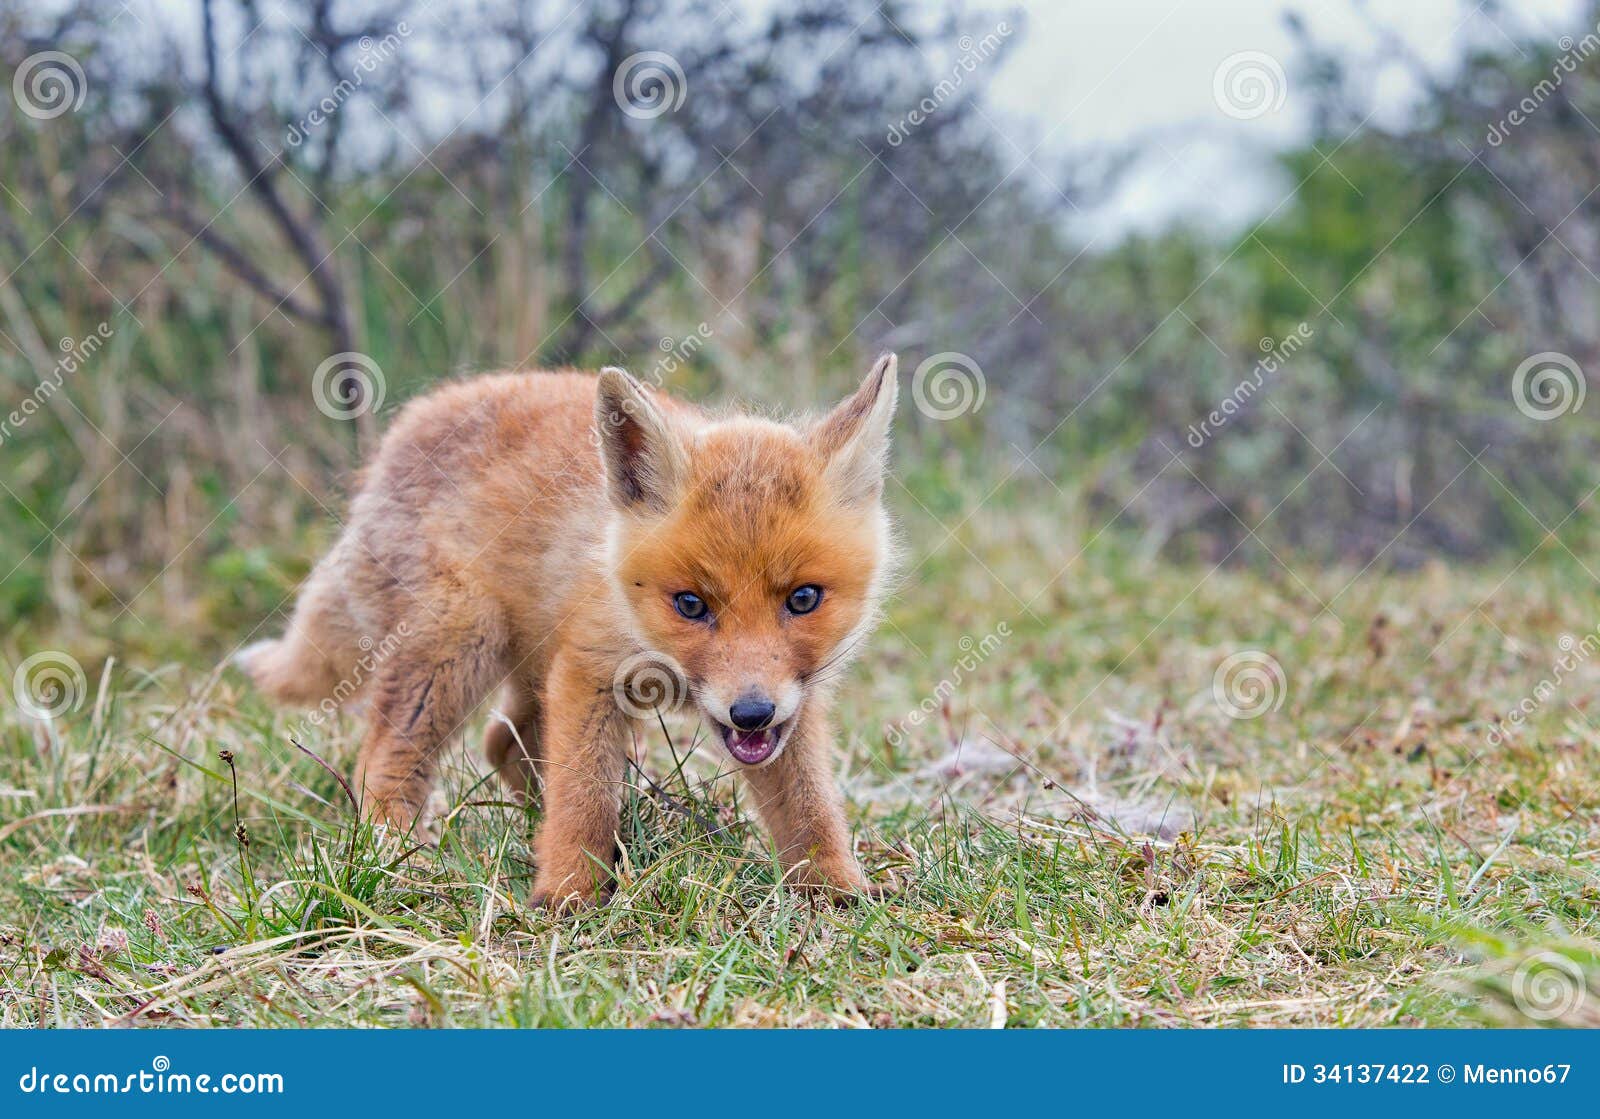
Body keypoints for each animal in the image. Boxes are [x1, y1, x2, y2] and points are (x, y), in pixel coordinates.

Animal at [237, 354, 900, 908]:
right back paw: (398, 863)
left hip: (527, 664)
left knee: (501, 741)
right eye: (690, 604)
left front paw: (839, 893)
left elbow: (811, 809)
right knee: (382, 766)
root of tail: (403, 432)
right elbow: (583, 801)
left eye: (803, 599)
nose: (751, 712)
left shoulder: (796, 705)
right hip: (458, 646)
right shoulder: (589, 669)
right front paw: (566, 898)